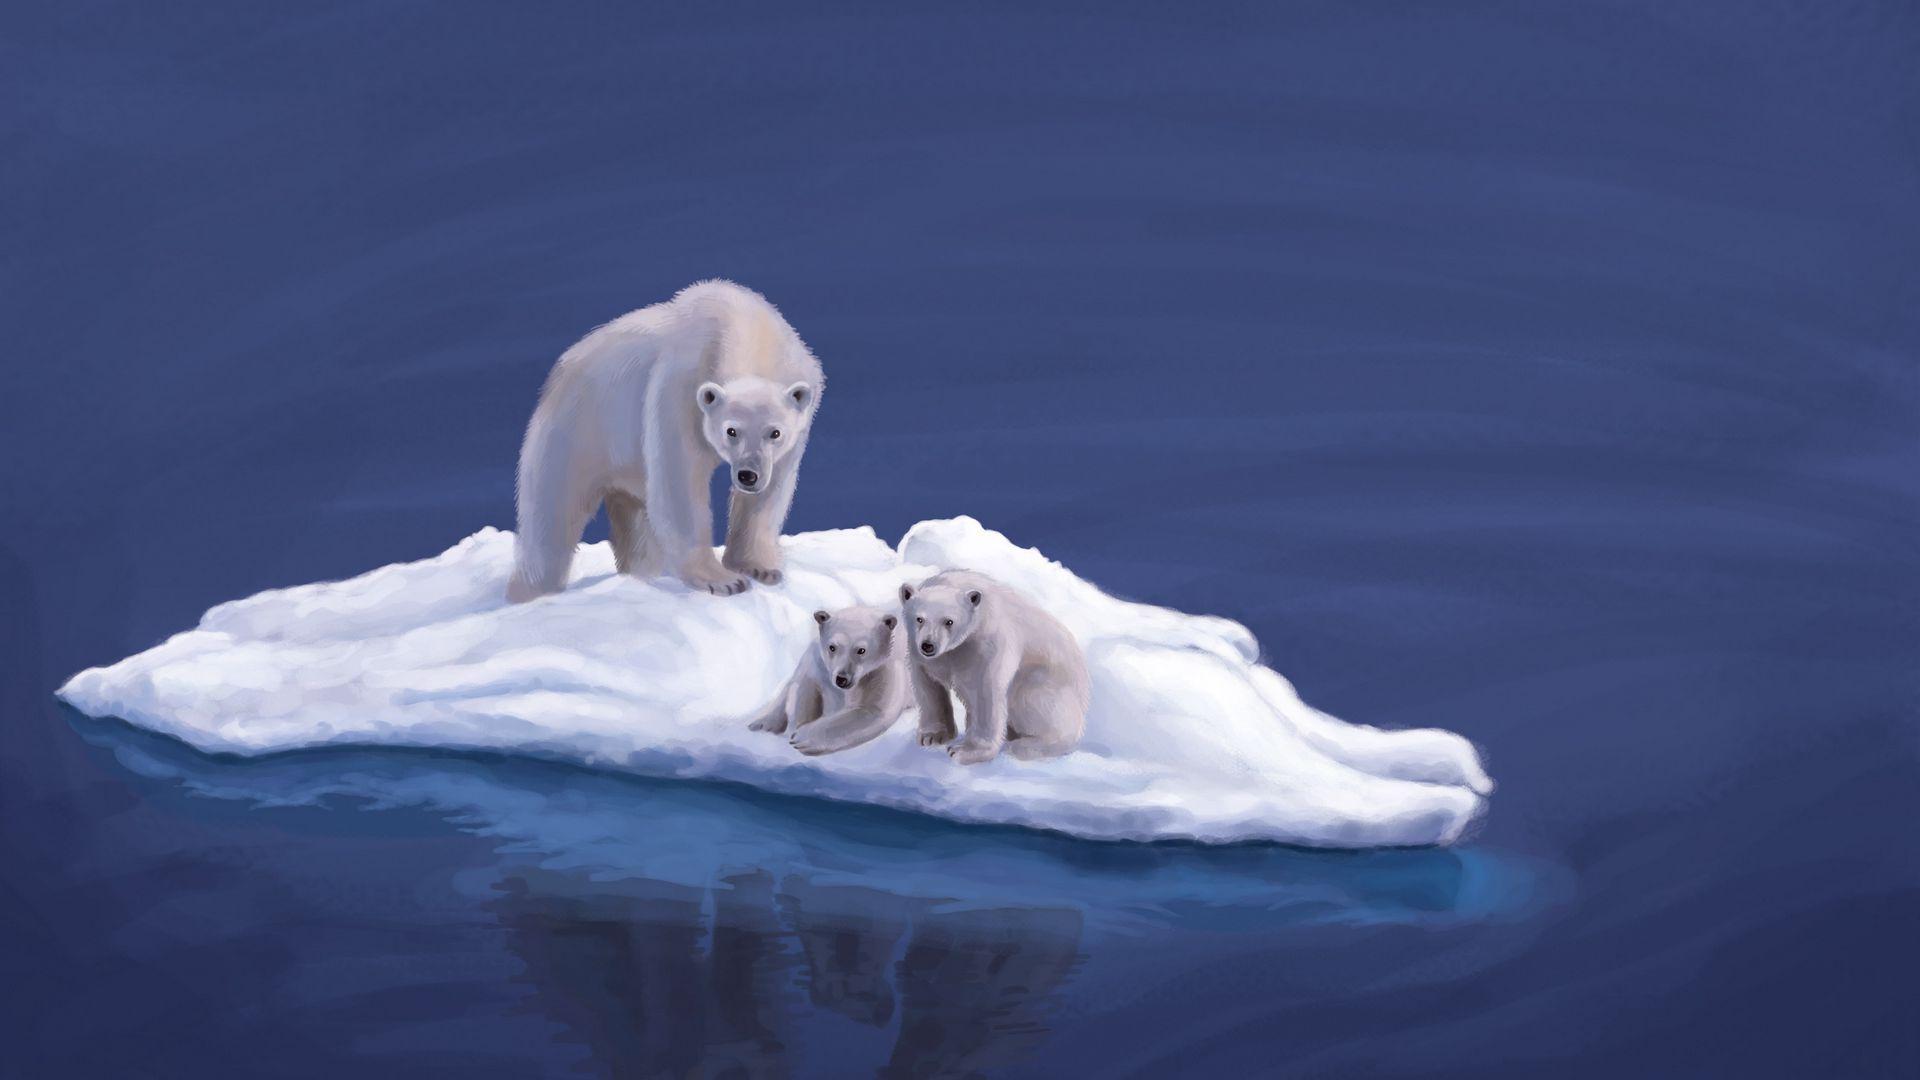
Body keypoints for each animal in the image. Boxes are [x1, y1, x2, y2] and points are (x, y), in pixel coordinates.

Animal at [506, 280, 823, 601]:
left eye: (775, 432)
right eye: (731, 431)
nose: (748, 475)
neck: (746, 326)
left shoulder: (801, 402)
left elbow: (771, 490)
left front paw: (759, 568)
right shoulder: (680, 389)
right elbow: (680, 481)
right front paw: (723, 580)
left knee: (635, 522)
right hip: (577, 430)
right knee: (552, 518)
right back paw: (530, 592)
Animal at [747, 605, 913, 756]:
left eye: (861, 650)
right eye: (832, 647)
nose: (842, 679)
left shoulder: (883, 669)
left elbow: (873, 710)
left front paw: (802, 738)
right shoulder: (818, 661)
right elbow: (803, 686)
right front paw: (795, 723)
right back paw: (761, 723)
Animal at [899, 571, 1089, 764]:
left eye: (949, 621)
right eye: (919, 619)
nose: (928, 645)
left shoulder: (988, 641)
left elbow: (986, 691)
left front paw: (965, 751)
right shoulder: (921, 651)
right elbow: (928, 685)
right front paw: (932, 736)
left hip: (1046, 684)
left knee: (1030, 701)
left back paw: (1026, 746)